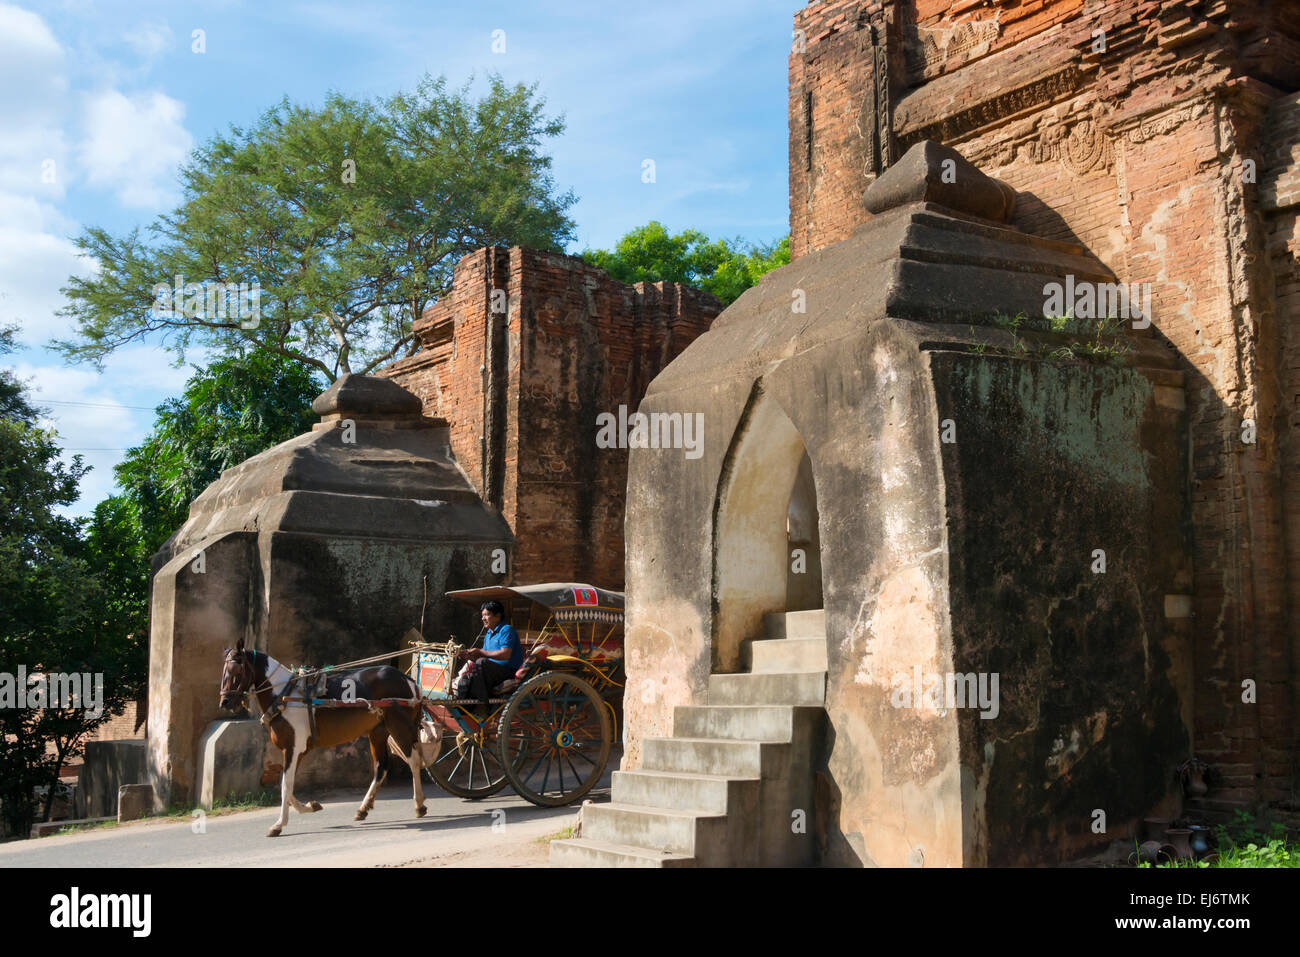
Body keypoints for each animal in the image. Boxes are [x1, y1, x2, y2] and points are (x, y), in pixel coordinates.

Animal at [218, 638, 430, 837]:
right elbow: (287, 784)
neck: (285, 696)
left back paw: (419, 804)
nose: (225, 702)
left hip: (398, 726)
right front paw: (309, 806)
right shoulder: (298, 749)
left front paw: (279, 824)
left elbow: (286, 784)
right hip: (378, 731)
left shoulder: (293, 747)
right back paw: (363, 808)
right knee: (381, 766)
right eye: (224, 670)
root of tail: (407, 680)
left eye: (236, 669)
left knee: (414, 760)